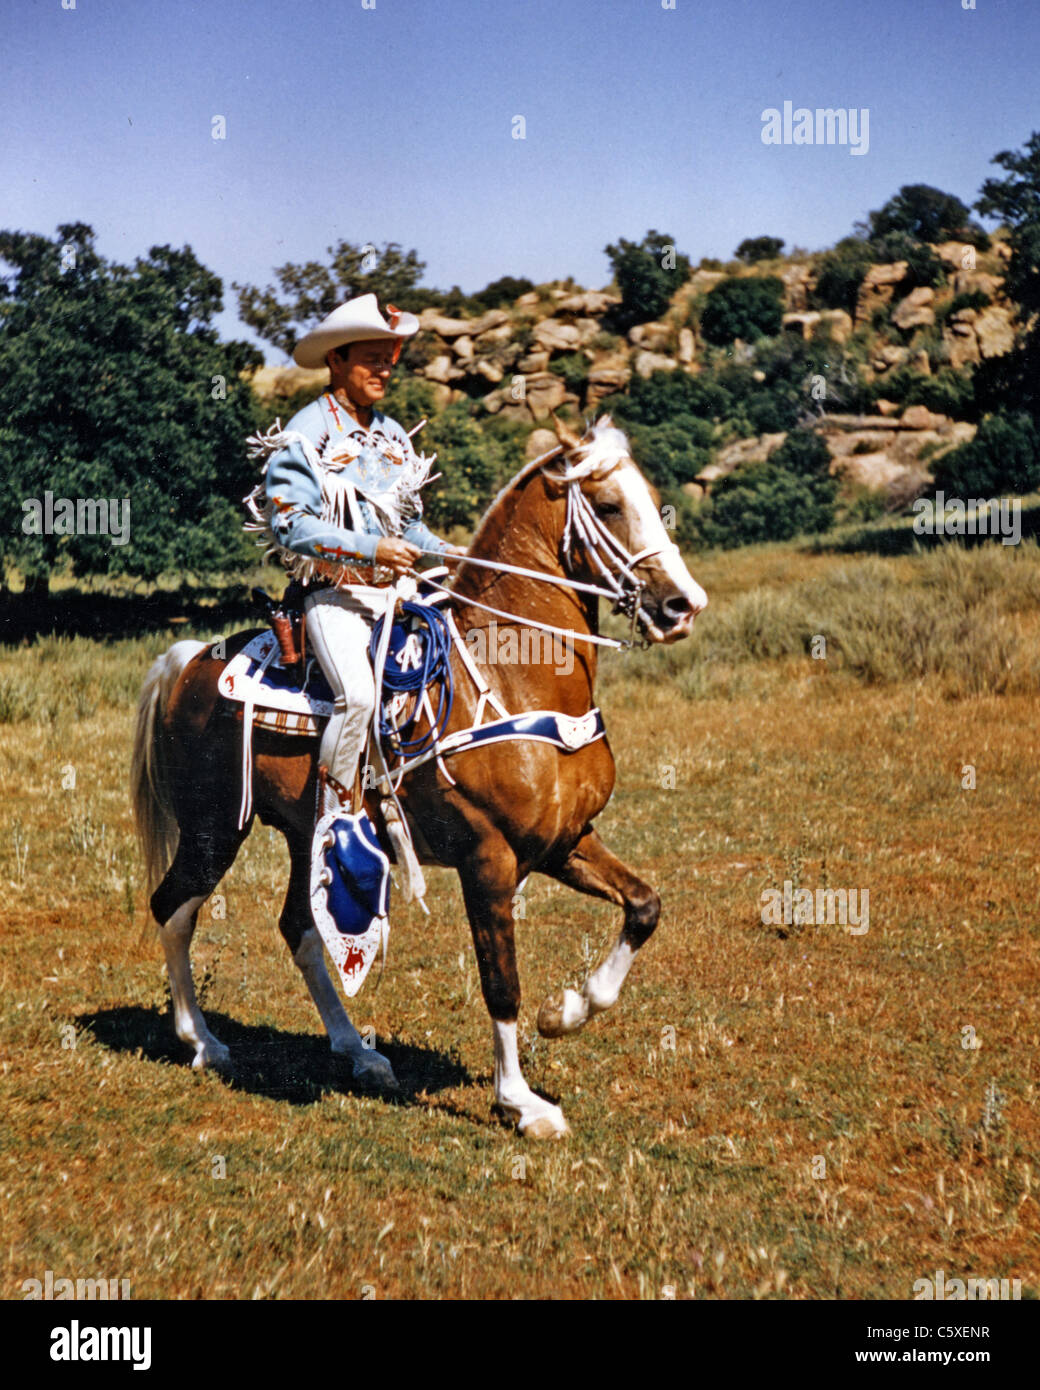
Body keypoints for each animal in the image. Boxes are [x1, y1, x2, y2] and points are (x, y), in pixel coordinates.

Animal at [131, 415, 707, 1138]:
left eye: (653, 498)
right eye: (606, 505)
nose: (683, 605)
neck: (515, 676)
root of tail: (189, 660)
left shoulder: (566, 840)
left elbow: (643, 907)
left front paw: (566, 1012)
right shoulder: (488, 860)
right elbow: (500, 980)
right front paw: (521, 1103)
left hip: (307, 836)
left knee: (300, 930)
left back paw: (358, 1053)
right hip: (215, 828)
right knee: (174, 908)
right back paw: (203, 1042)